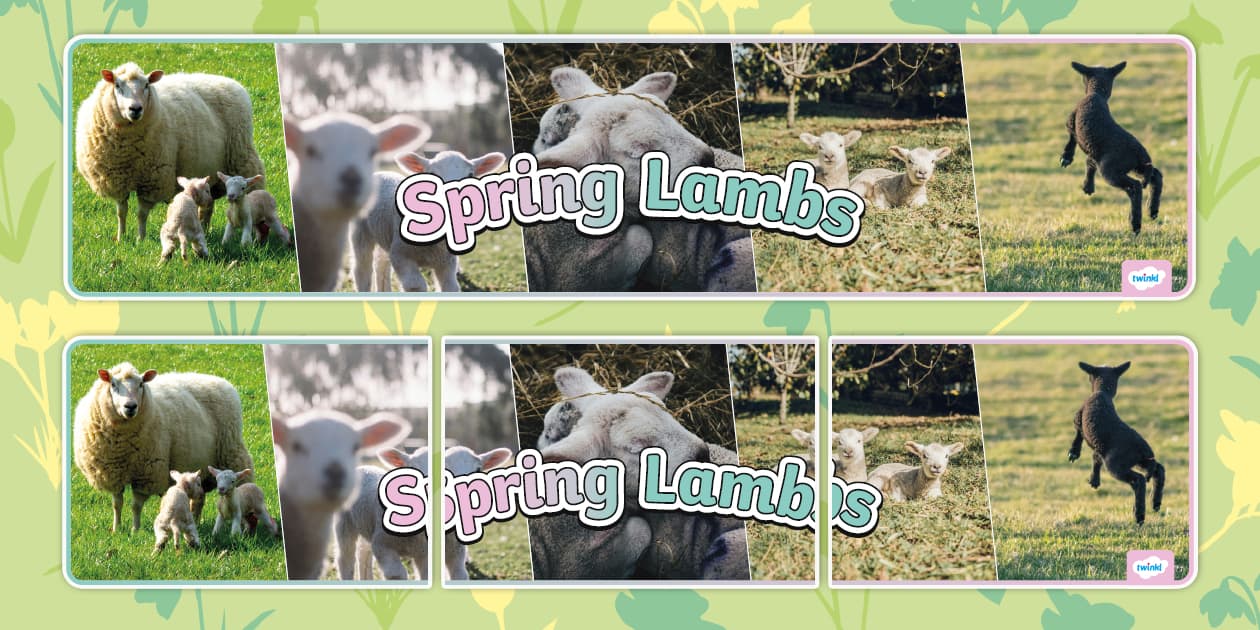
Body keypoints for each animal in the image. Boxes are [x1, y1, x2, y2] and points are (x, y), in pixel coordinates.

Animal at [72, 362, 254, 533]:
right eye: (113, 384)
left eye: (141, 384)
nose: (130, 406)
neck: (123, 446)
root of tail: (219, 380)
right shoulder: (114, 473)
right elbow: (117, 504)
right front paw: (117, 529)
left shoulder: (146, 473)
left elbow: (136, 506)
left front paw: (135, 530)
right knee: (199, 498)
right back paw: (195, 521)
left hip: (232, 452)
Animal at [75, 62, 264, 242]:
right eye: (117, 85)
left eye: (146, 85)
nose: (135, 109)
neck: (127, 151)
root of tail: (229, 81)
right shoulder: (117, 180)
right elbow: (121, 212)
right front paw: (121, 238)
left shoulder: (152, 180)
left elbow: (141, 214)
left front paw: (140, 239)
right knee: (208, 205)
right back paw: (204, 228)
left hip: (242, 158)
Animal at [350, 150, 504, 293]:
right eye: (432, 174)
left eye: (471, 175)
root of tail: (381, 172)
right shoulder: (401, 255)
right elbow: (416, 286)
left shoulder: (447, 263)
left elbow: (450, 288)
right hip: (361, 232)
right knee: (362, 268)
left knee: (381, 265)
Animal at [1060, 61, 1163, 235]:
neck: (1097, 93)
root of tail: (1138, 154)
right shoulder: (1095, 152)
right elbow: (1090, 163)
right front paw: (1088, 186)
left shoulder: (1071, 123)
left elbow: (1072, 139)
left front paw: (1066, 157)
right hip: (1137, 166)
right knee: (1156, 175)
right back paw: (1152, 210)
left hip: (1111, 170)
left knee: (1135, 187)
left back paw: (1135, 223)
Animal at [1069, 361, 1165, 525]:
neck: (1103, 392)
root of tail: (1142, 449)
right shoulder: (1100, 447)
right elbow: (1096, 458)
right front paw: (1094, 480)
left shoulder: (1078, 419)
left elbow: (1078, 434)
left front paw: (1074, 452)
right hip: (1141, 461)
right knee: (1159, 469)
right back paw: (1155, 502)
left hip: (1116, 464)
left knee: (1139, 480)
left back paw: (1139, 515)